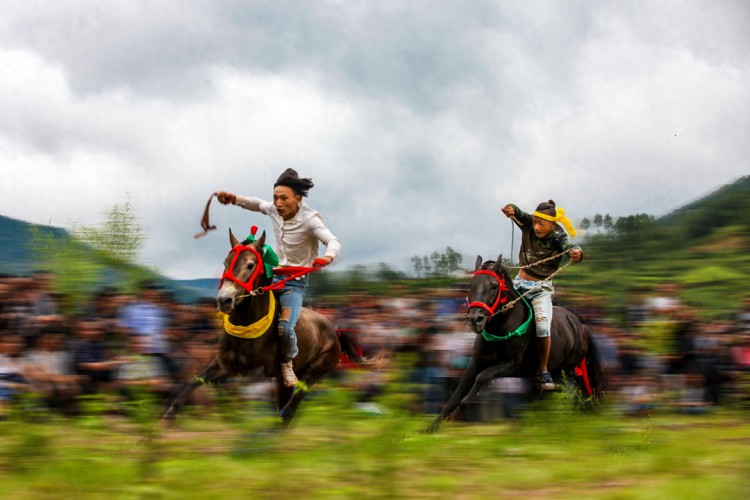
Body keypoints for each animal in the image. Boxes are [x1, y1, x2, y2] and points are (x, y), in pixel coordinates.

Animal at [162, 229, 368, 426]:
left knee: (292, 405)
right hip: (285, 380)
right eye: (225, 262)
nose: (224, 300)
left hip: (316, 370)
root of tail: (335, 331)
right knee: (285, 406)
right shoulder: (223, 363)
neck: (246, 326)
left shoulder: (253, 371)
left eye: (250, 265)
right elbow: (195, 380)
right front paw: (170, 414)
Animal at [428, 256, 604, 432]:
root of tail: (580, 325)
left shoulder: (511, 364)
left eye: (494, 286)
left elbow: (483, 377)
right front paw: (431, 427)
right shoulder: (476, 363)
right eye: (470, 286)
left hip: (566, 369)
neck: (501, 327)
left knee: (576, 389)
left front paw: (466, 402)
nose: (474, 319)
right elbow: (457, 392)